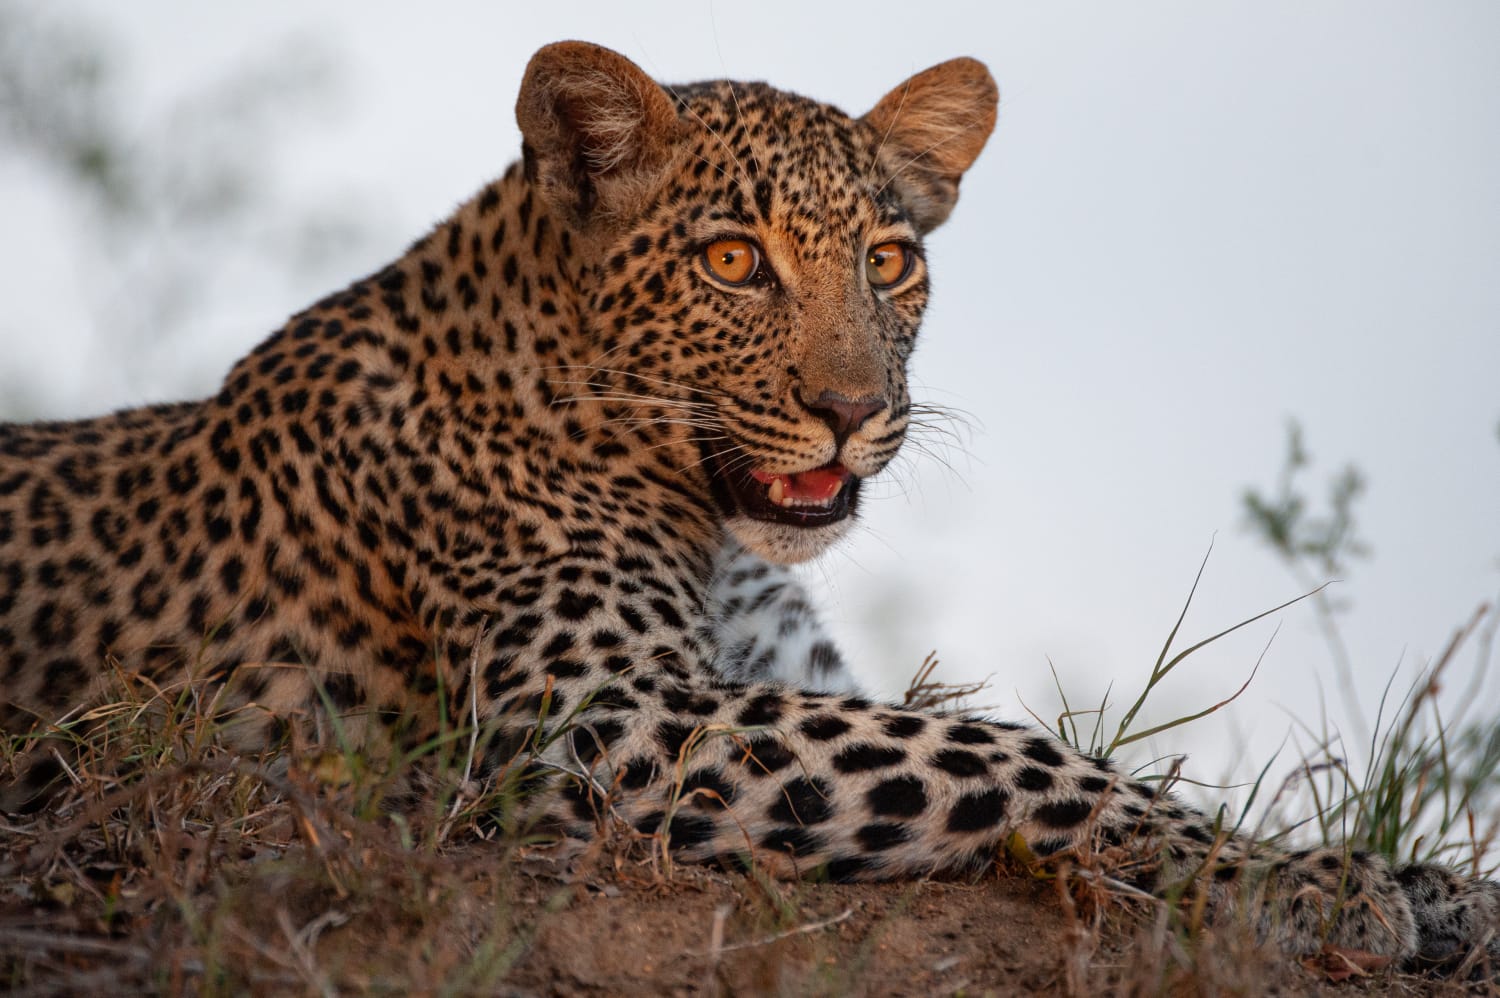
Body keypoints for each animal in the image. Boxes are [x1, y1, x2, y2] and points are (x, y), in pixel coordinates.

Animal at [1, 39, 1495, 977]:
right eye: (732, 261)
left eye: (890, 261)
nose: (851, 408)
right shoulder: (599, 724)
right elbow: (1001, 751)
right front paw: (1311, 882)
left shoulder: (761, 676)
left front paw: (1432, 881)